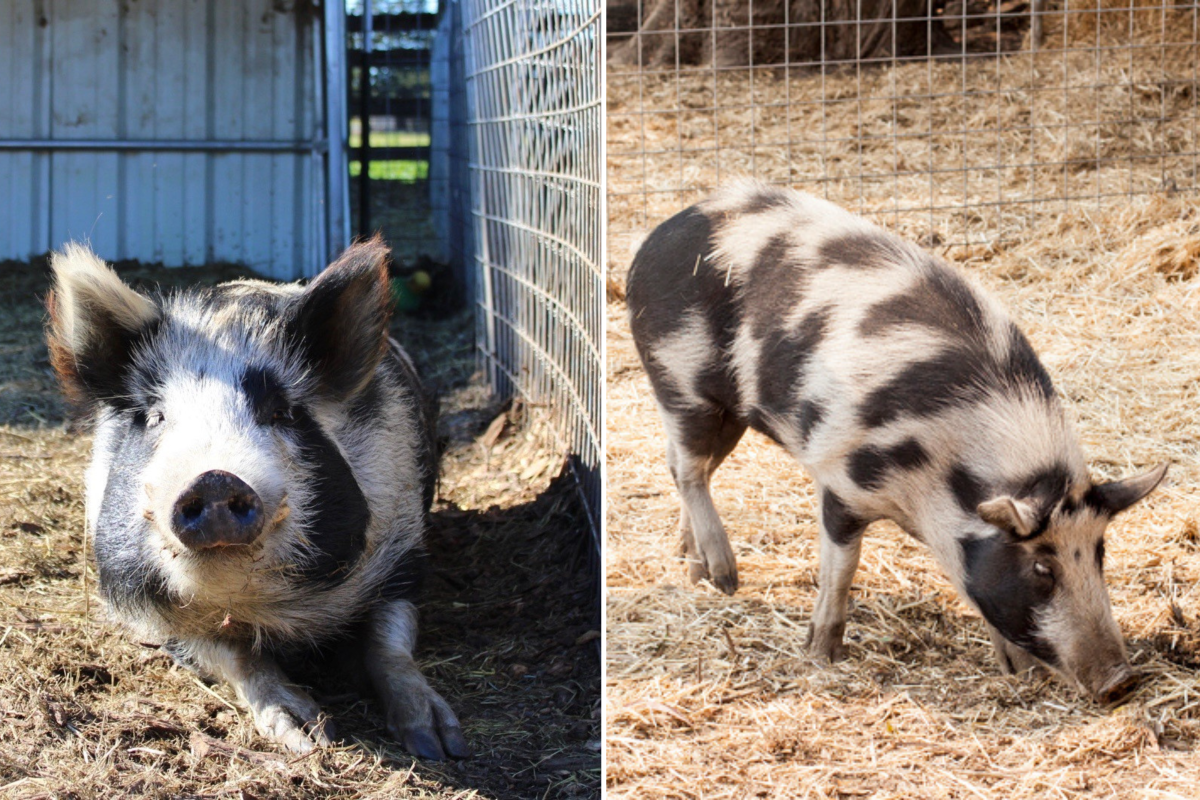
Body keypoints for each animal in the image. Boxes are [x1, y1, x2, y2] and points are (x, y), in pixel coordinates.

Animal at [46, 239, 468, 758]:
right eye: (157, 417)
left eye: (281, 411)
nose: (214, 479)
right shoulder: (153, 617)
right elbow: (236, 657)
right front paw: (310, 736)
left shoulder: (404, 550)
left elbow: (389, 641)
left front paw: (439, 744)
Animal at [625, 182, 1167, 702]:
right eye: (1041, 567)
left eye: (1100, 553)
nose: (1121, 681)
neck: (930, 480)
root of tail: (662, 231)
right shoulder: (839, 479)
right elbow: (842, 567)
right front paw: (821, 655)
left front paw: (1018, 670)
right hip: (681, 380)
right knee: (687, 469)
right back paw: (725, 579)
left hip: (724, 413)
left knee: (684, 464)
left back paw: (693, 568)